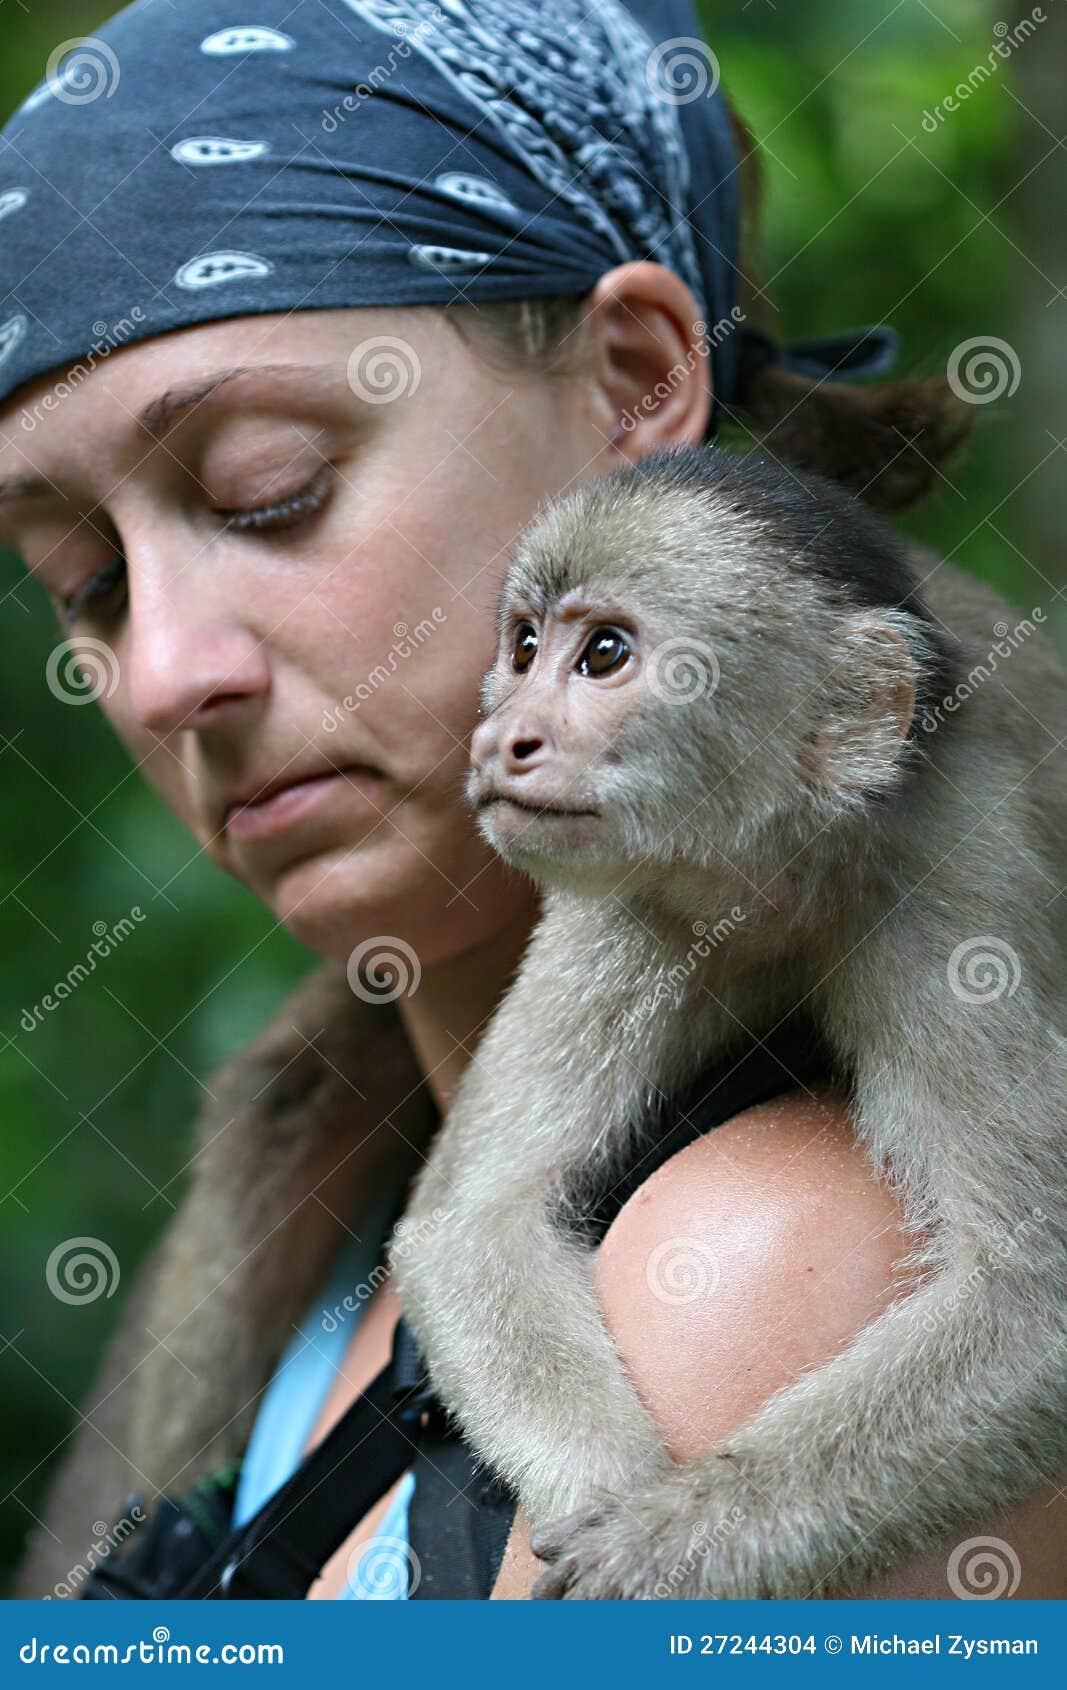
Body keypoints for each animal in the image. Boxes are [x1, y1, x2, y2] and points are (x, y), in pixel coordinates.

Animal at [388, 443, 1067, 1601]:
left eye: (603, 656)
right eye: (522, 647)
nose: (497, 736)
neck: (789, 871)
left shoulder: (956, 884)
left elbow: (1035, 1301)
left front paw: (655, 1549)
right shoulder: (627, 902)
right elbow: (470, 1223)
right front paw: (602, 1488)